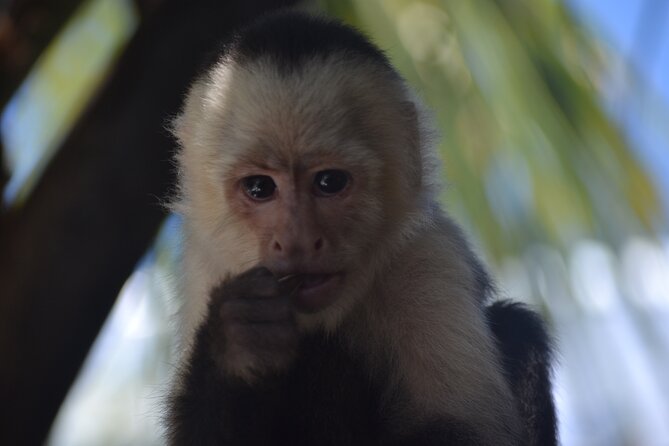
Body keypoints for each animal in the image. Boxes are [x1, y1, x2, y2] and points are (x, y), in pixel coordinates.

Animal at [166, 11, 557, 446]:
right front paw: (235, 345)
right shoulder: (207, 263)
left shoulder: (427, 255)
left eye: (330, 182)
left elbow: (461, 427)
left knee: (516, 325)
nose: (297, 241)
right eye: (259, 188)